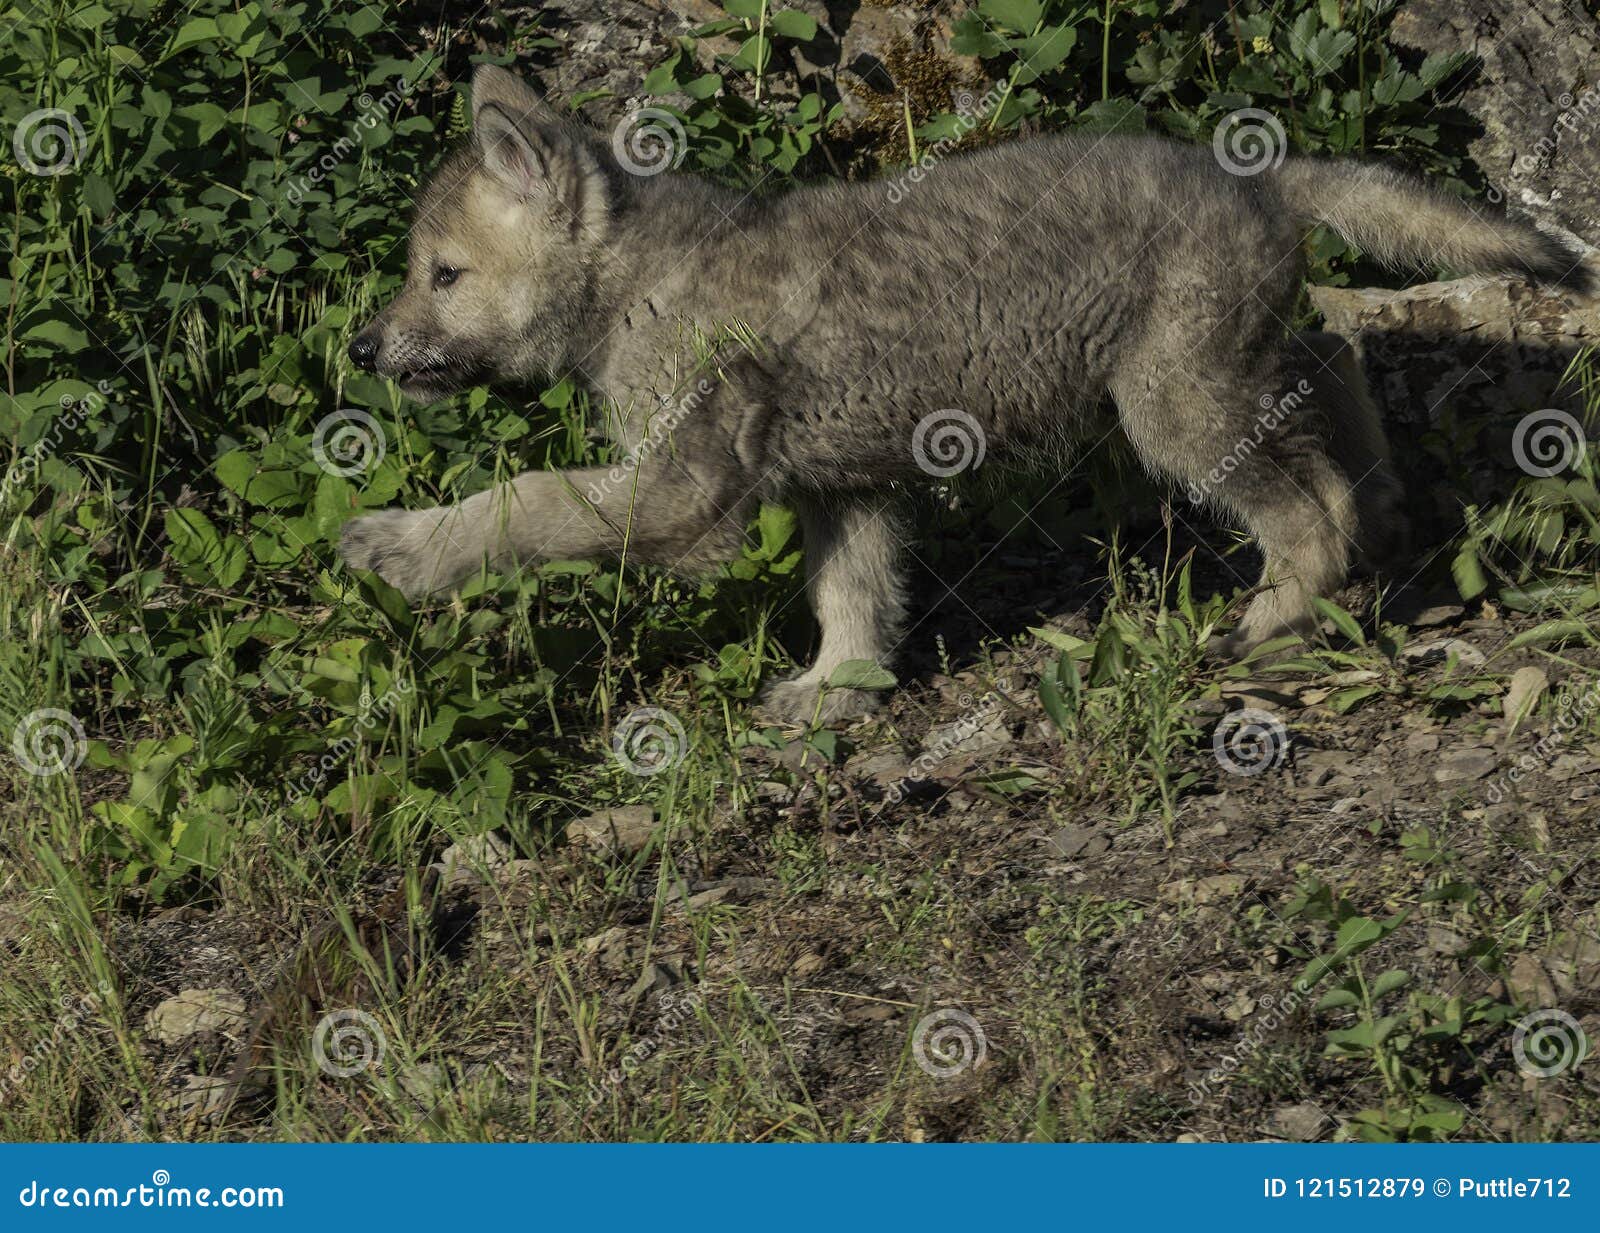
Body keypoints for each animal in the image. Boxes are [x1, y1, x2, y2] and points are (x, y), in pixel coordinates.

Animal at [341, 64, 1589, 722]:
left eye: (442, 276)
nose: (361, 347)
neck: (641, 282)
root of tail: (1260, 173)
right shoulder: (846, 489)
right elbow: (851, 597)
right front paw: (835, 693)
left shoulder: (687, 496)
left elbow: (521, 502)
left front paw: (399, 548)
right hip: (1227, 364)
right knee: (1334, 364)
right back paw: (1382, 521)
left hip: (1171, 404)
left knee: (1306, 505)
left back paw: (1276, 616)